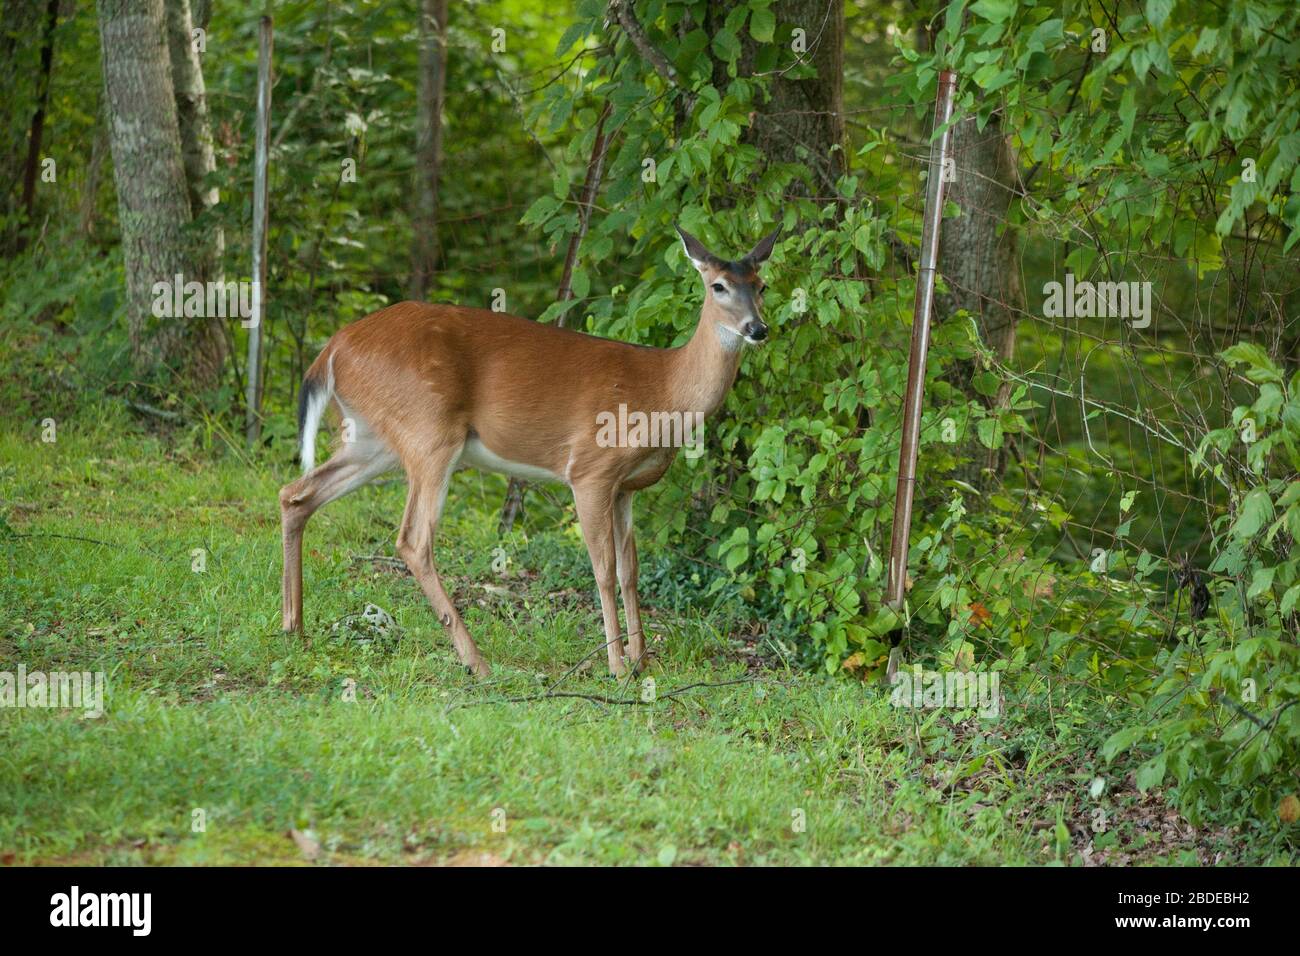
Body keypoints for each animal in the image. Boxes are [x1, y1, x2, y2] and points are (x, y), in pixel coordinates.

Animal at [279, 225, 779, 678]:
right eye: (718, 286)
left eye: (761, 285)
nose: (758, 329)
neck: (665, 391)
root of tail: (332, 349)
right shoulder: (591, 470)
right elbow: (602, 569)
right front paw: (618, 667)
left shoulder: (626, 487)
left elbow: (629, 570)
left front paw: (643, 660)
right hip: (429, 431)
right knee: (413, 540)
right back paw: (478, 663)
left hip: (373, 437)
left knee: (297, 494)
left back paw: (294, 629)